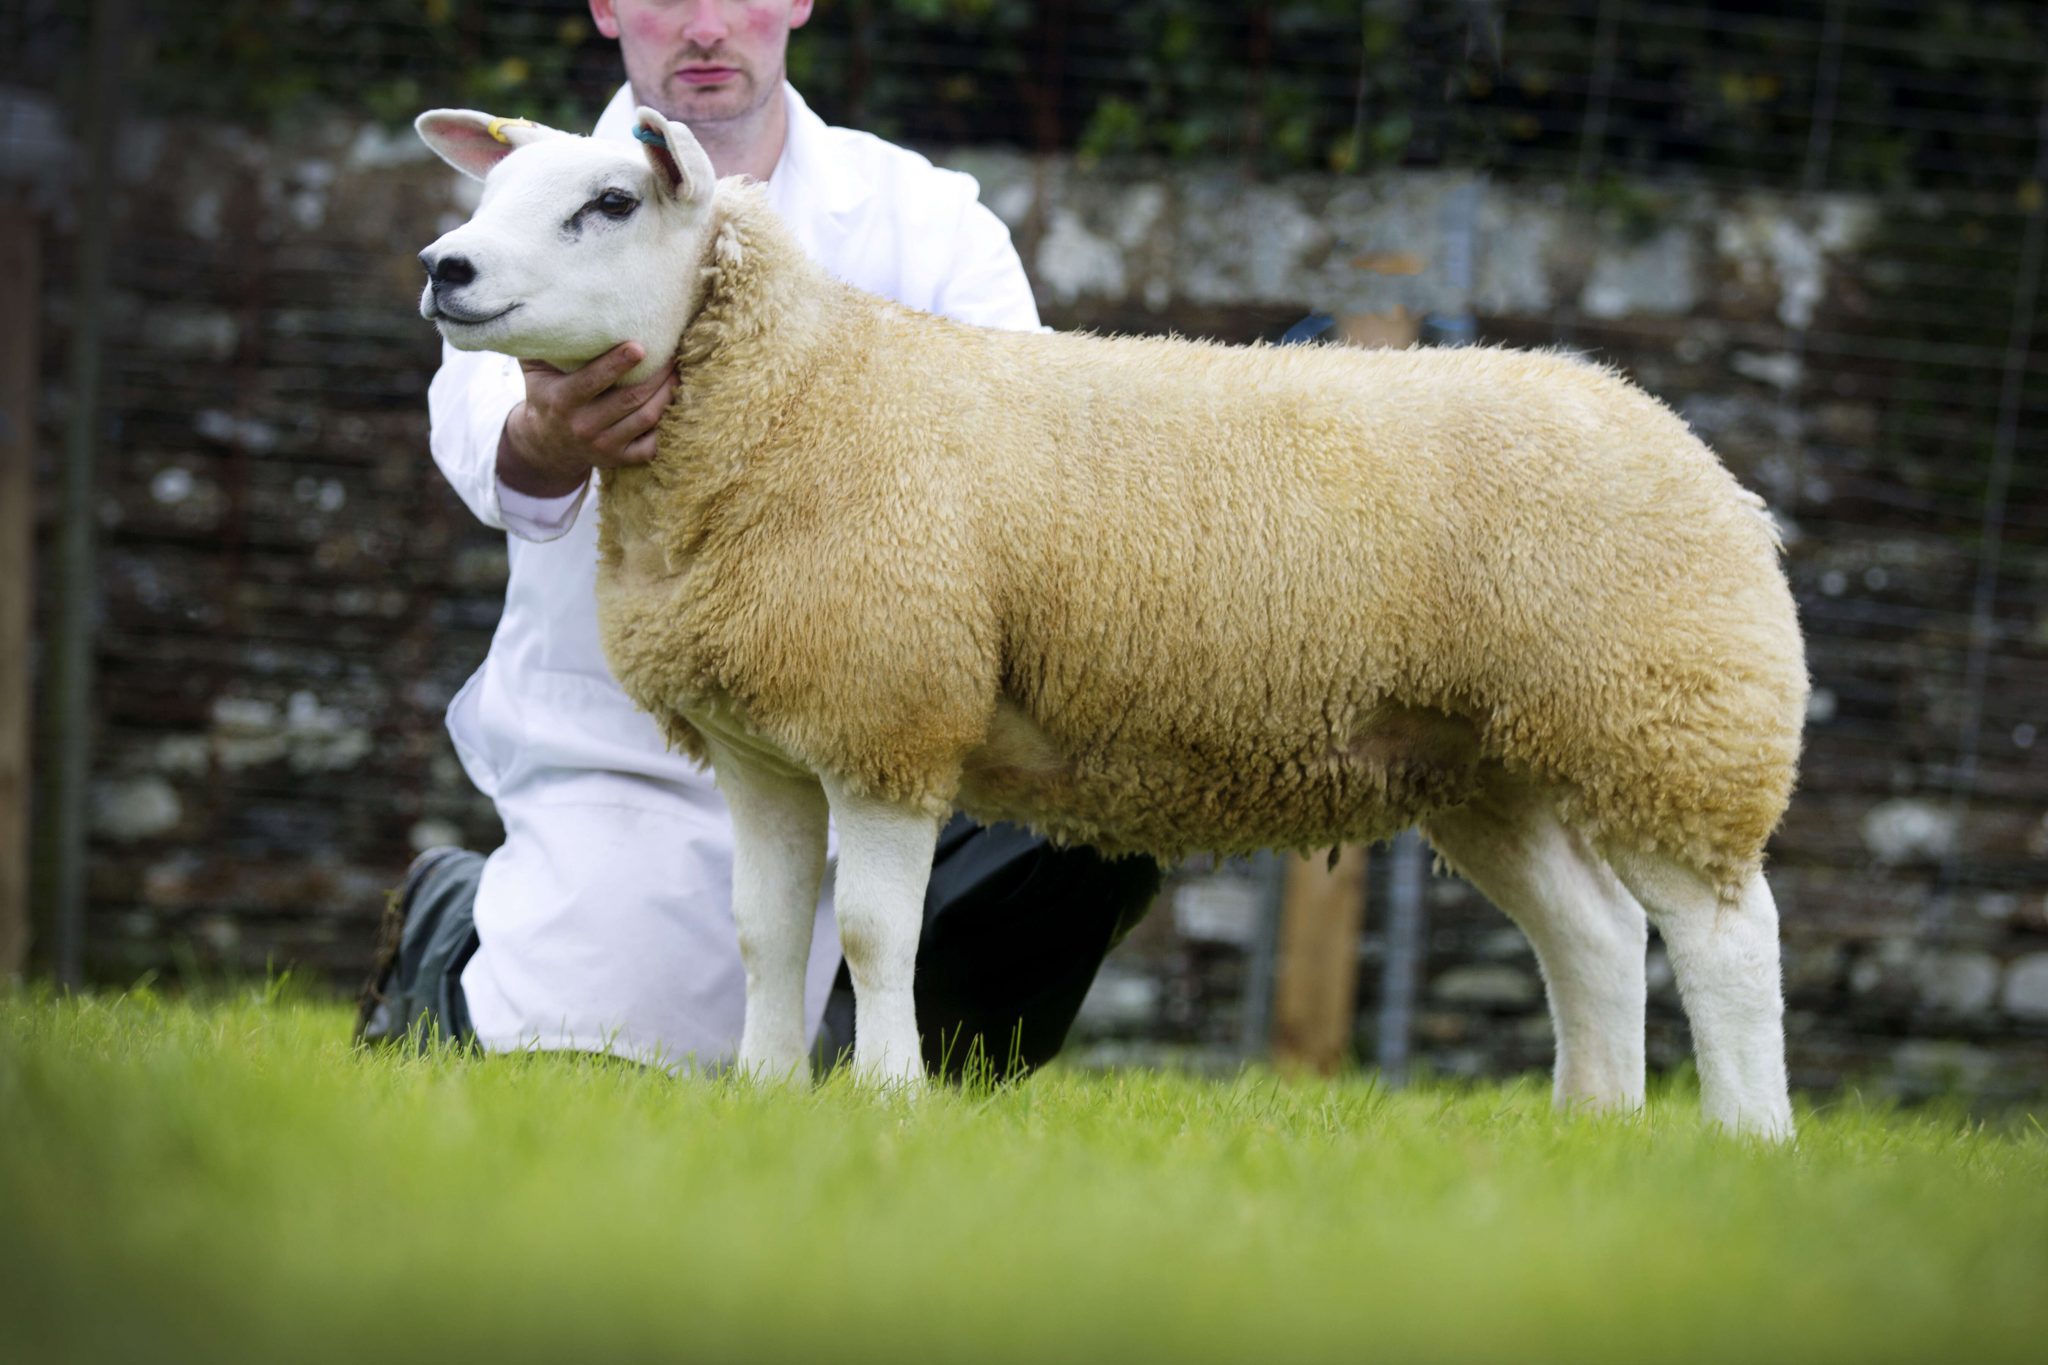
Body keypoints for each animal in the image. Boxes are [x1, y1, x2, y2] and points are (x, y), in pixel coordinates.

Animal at [415, 106, 1809, 1139]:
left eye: (610, 203)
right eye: (497, 193)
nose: (445, 268)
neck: (804, 395)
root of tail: (1698, 456)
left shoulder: (887, 710)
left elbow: (868, 930)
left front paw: (886, 1097)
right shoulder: (762, 742)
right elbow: (764, 934)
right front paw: (763, 1095)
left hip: (1665, 716)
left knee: (1726, 938)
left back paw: (1744, 1138)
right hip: (1481, 756)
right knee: (1595, 934)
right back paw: (1593, 1130)